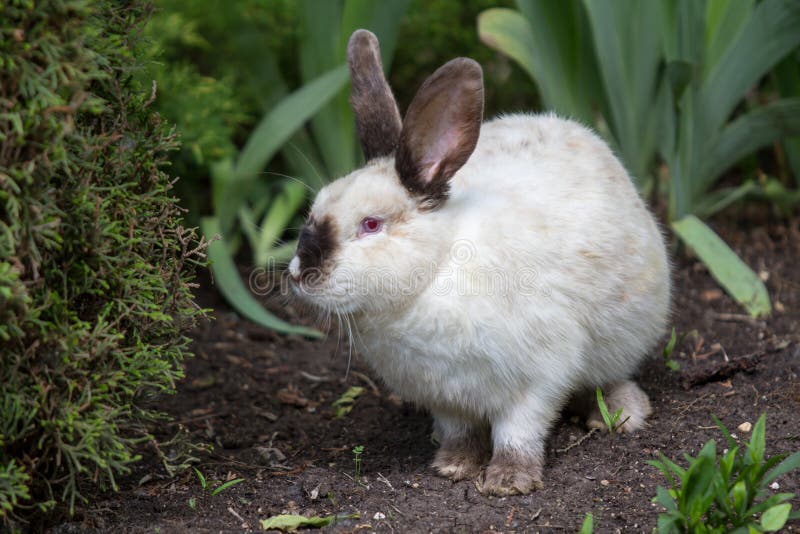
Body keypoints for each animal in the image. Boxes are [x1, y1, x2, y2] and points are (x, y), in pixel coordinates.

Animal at [287, 29, 670, 496]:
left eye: (371, 224)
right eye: (315, 210)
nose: (300, 274)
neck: (432, 275)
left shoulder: (537, 380)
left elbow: (518, 432)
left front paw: (508, 482)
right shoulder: (445, 398)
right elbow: (462, 432)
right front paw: (453, 467)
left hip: (624, 337)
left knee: (609, 377)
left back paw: (620, 414)